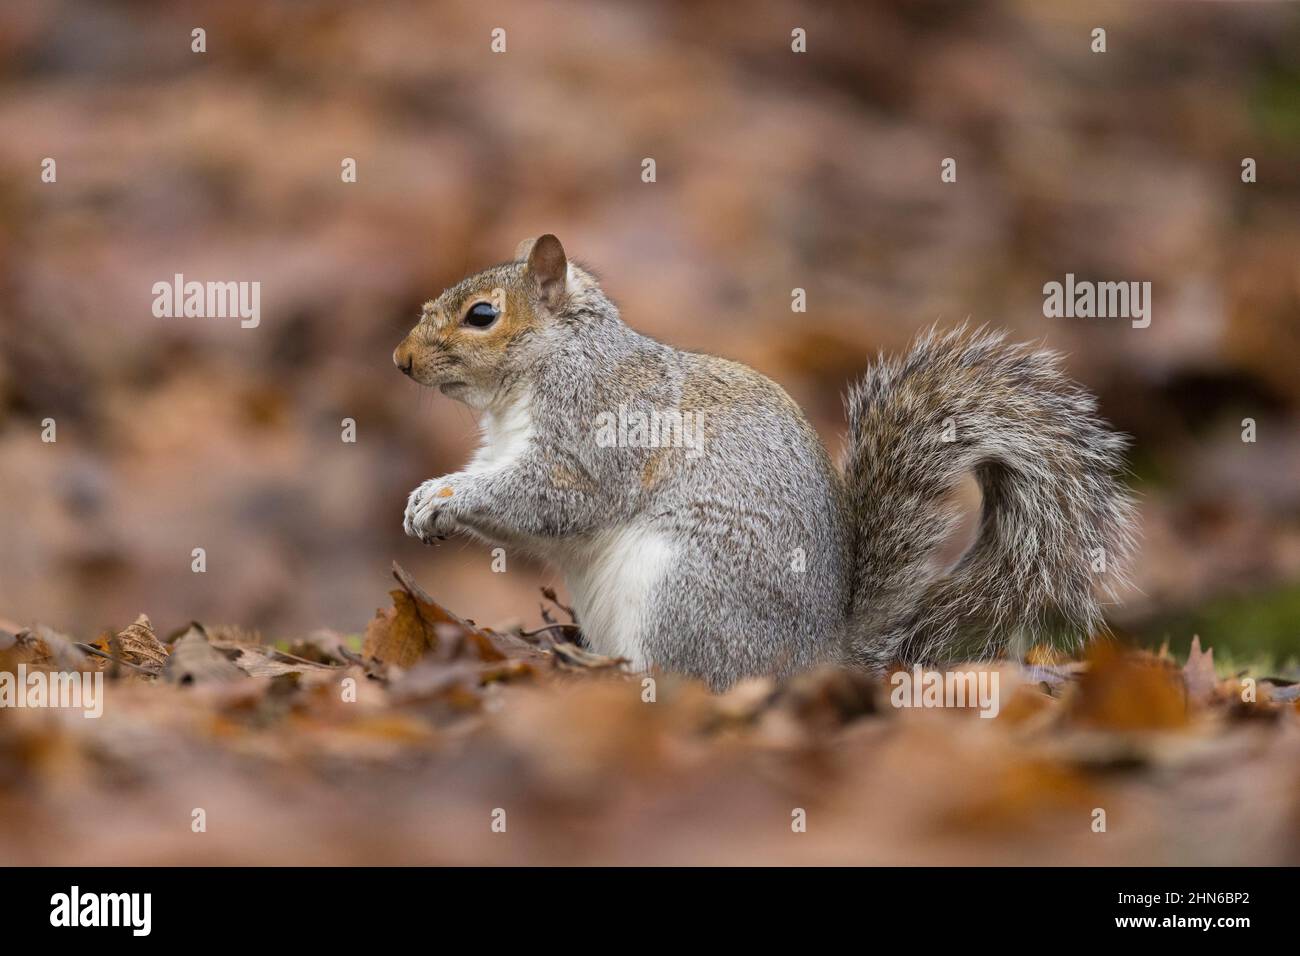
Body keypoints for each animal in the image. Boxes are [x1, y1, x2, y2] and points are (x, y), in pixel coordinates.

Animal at [394, 235, 1136, 690]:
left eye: (482, 315)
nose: (400, 362)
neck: (547, 365)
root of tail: (819, 659)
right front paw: (426, 497)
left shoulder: (600, 424)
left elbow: (558, 498)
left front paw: (449, 497)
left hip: (686, 591)